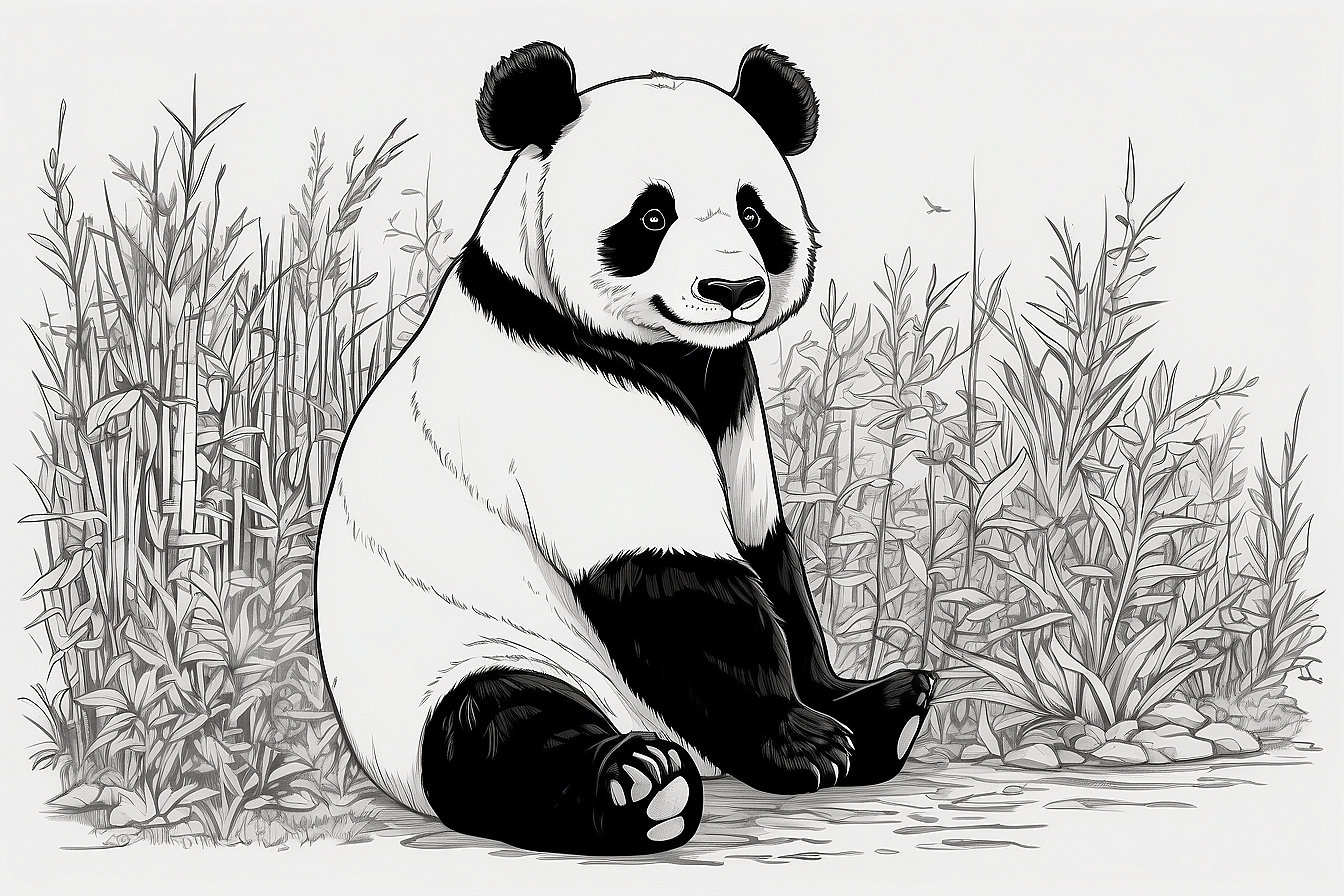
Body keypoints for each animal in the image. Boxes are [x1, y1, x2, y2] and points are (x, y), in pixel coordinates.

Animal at [315, 41, 935, 856]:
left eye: (753, 211)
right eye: (651, 216)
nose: (732, 288)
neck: (670, 354)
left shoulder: (732, 400)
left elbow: (768, 563)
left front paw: (841, 706)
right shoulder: (564, 397)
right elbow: (674, 581)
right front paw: (804, 741)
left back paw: (896, 710)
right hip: (451, 660)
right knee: (497, 724)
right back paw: (639, 784)